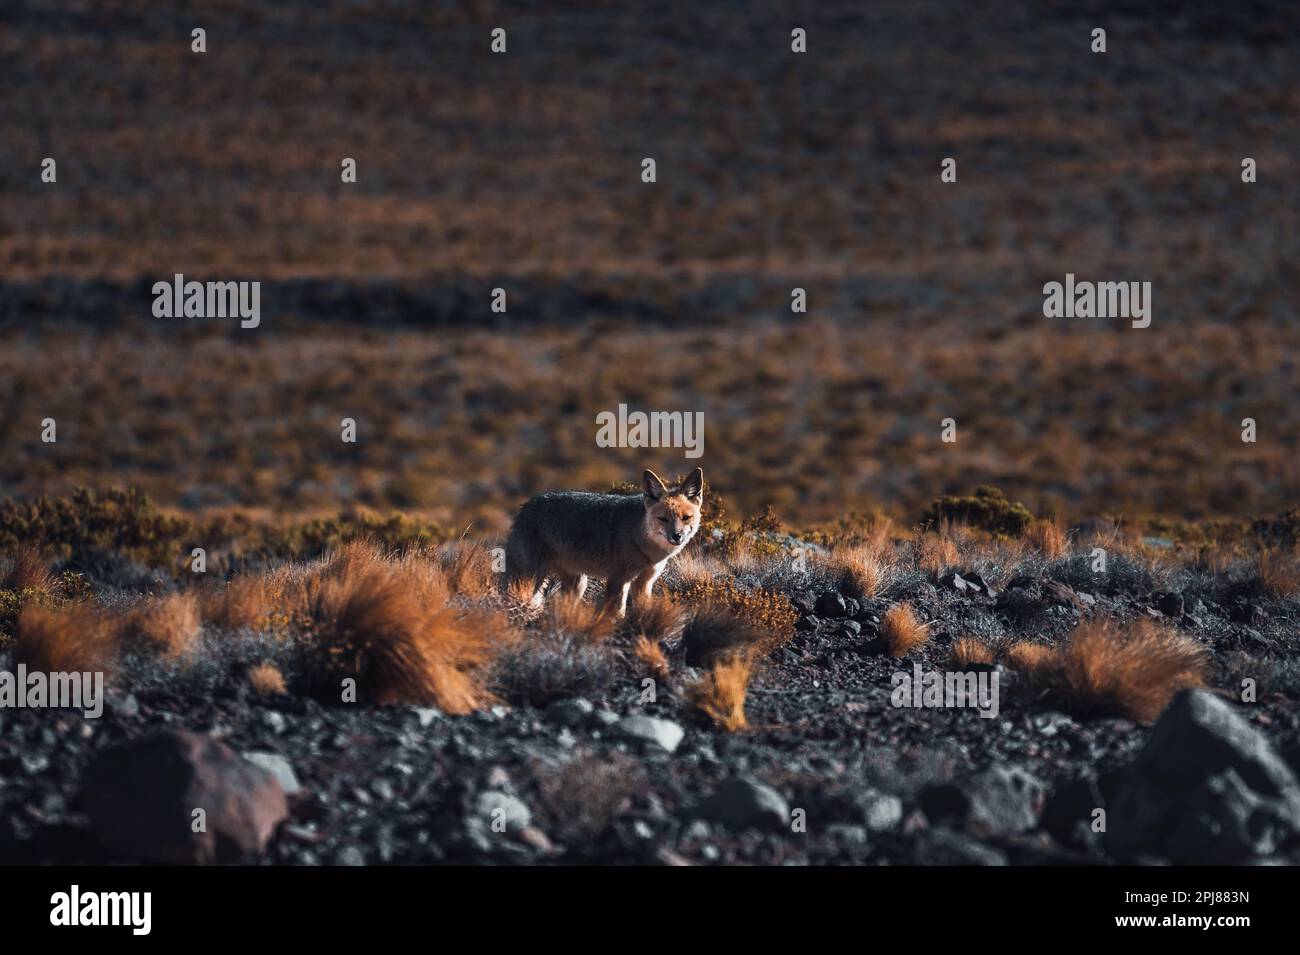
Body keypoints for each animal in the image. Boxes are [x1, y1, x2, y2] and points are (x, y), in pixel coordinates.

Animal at [505, 467, 704, 617]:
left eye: (685, 518)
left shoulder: (645, 583)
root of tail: (525, 507)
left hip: (577, 584)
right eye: (663, 519)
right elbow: (618, 613)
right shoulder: (619, 579)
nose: (677, 536)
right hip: (532, 580)